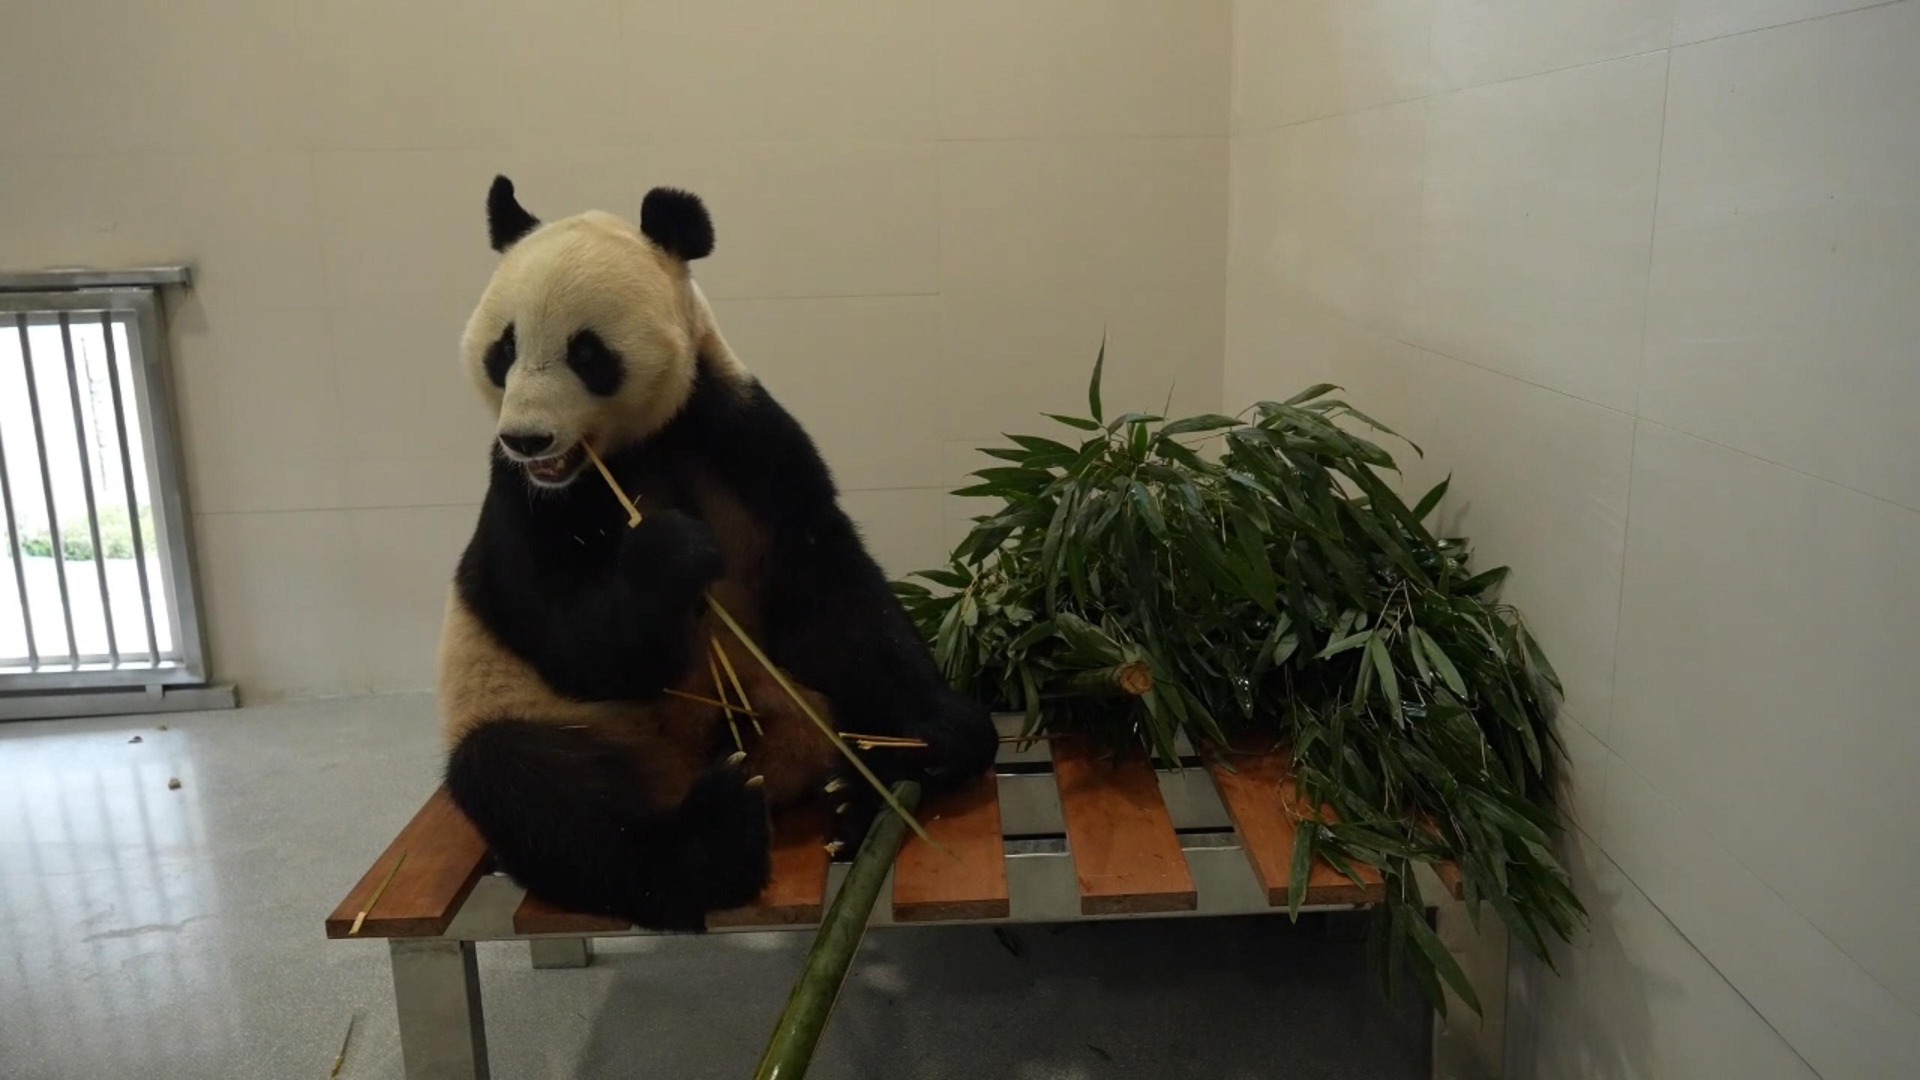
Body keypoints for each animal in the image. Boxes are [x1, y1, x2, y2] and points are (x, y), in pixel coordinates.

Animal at [438, 175, 998, 932]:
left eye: (587, 353)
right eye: (504, 348)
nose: (529, 438)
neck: (630, 448)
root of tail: (679, 772)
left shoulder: (739, 436)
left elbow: (829, 588)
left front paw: (931, 736)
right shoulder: (520, 503)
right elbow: (571, 639)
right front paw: (671, 552)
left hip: (784, 691)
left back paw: (861, 790)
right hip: (541, 712)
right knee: (533, 789)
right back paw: (716, 834)